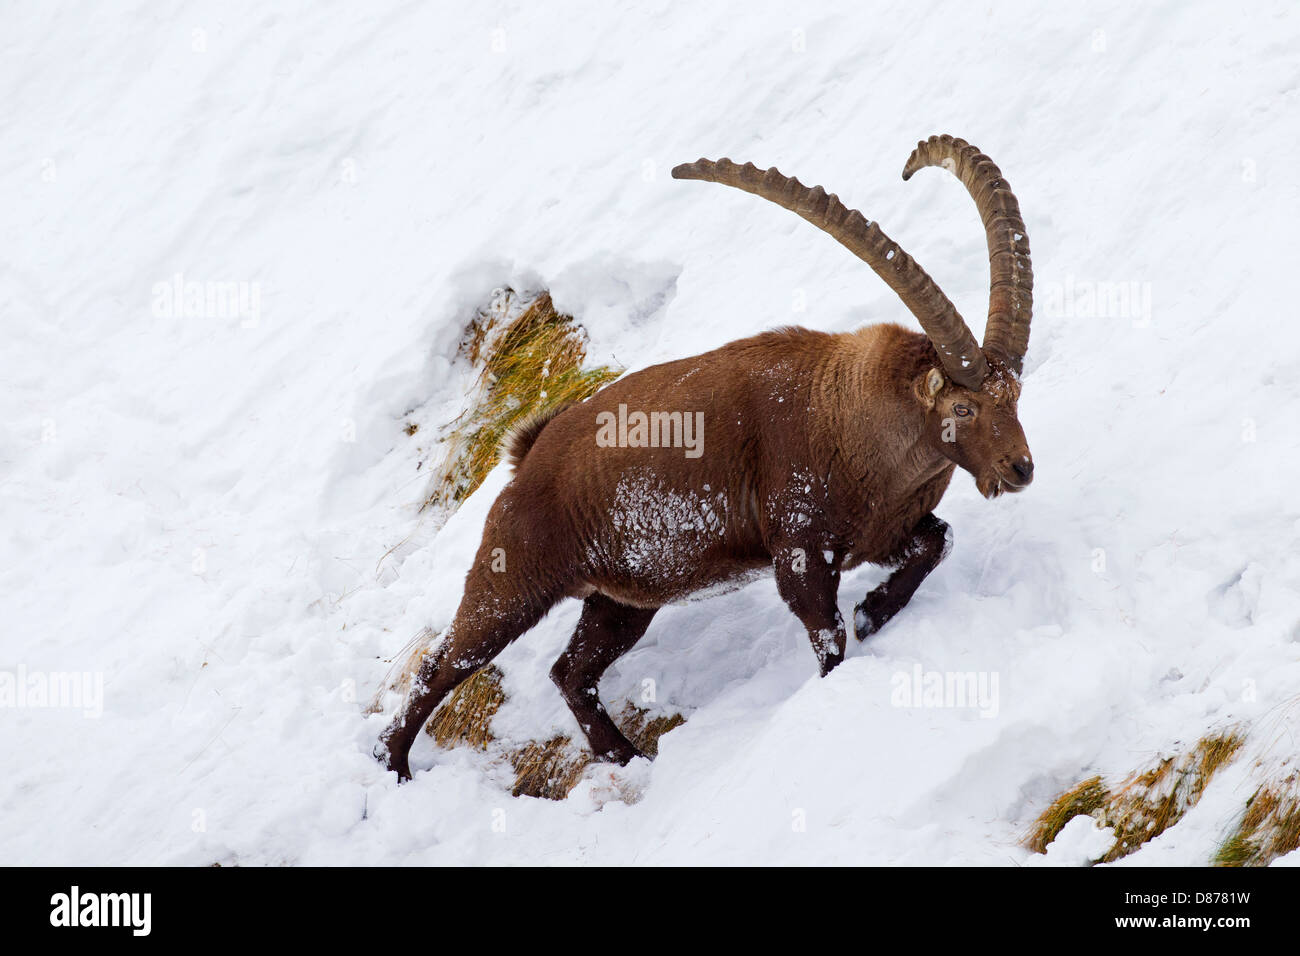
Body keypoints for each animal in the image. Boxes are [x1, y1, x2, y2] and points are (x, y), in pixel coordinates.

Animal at [377, 134, 1034, 780]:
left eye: (1015, 394)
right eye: (964, 408)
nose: (1020, 468)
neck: (852, 415)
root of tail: (526, 458)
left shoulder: (881, 532)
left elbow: (938, 541)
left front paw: (875, 610)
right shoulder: (798, 549)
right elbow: (827, 635)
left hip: (620, 600)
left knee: (572, 671)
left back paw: (627, 757)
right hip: (512, 579)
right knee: (442, 665)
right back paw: (395, 766)